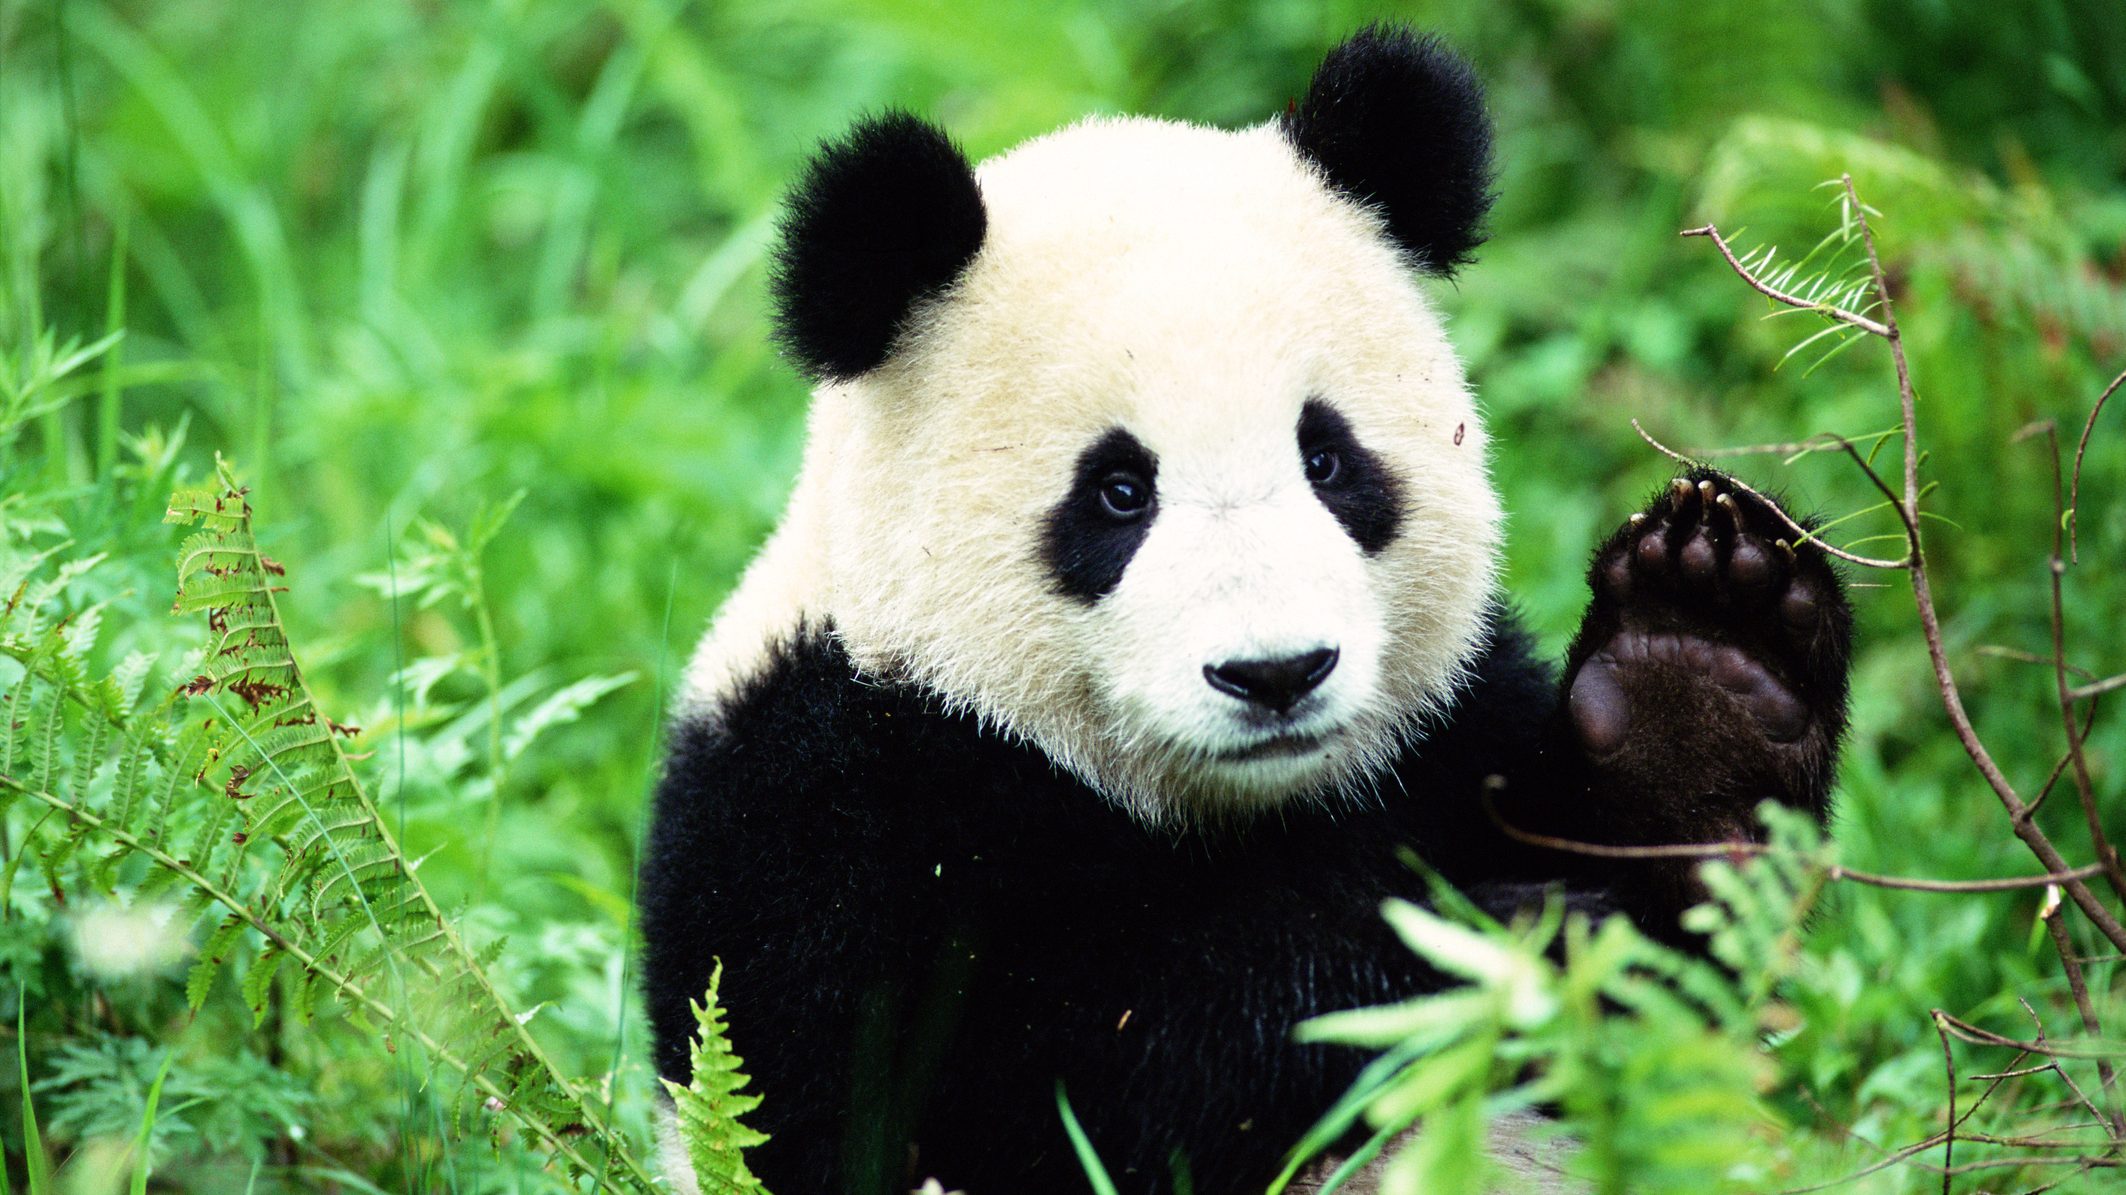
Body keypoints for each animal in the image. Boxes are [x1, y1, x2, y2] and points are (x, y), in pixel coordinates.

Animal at [639, 24, 1852, 1195]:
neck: (1225, 809)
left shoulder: (1454, 726)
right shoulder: (821, 804)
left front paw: (1698, 673)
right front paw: (1486, 952)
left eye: (1327, 459)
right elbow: (1029, 1093)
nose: (1276, 672)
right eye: (1117, 493)